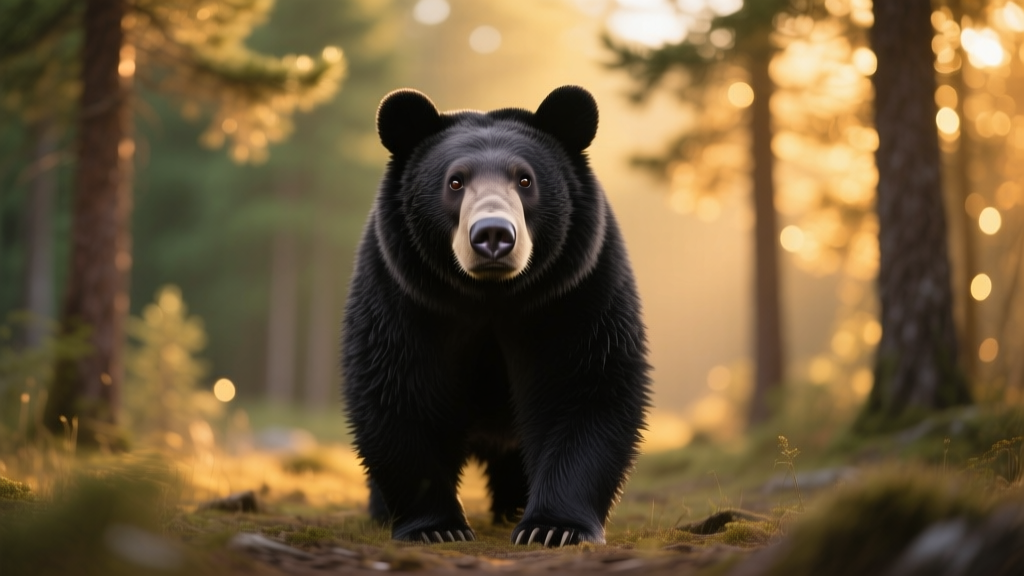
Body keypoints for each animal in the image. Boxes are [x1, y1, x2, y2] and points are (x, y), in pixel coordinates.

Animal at [341, 86, 650, 546]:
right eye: (455, 180)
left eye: (525, 179)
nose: (492, 235)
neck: (491, 296)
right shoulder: (407, 297)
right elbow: (401, 388)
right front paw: (436, 528)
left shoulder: (574, 291)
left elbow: (584, 386)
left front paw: (552, 527)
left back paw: (514, 505)